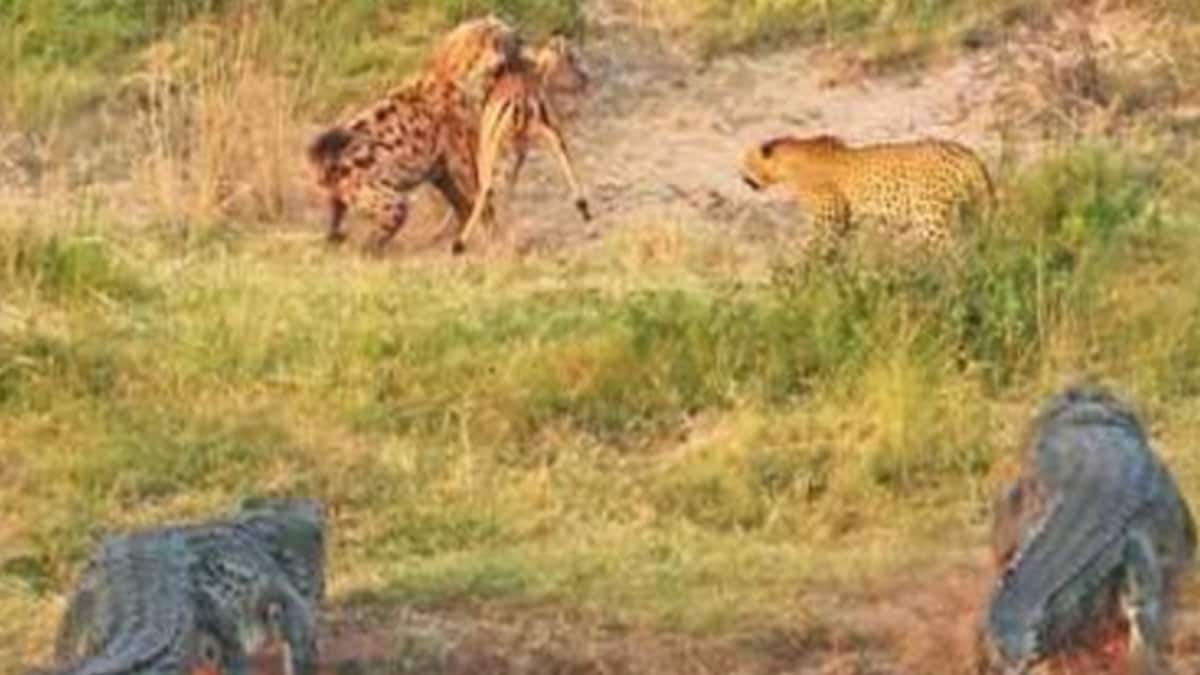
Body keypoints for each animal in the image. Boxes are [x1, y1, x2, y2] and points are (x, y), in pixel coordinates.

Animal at [740, 134, 996, 259]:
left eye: (746, 162)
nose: (743, 179)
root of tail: (966, 153)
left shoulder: (827, 225)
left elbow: (810, 250)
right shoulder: (842, 225)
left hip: (931, 216)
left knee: (950, 250)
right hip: (970, 210)